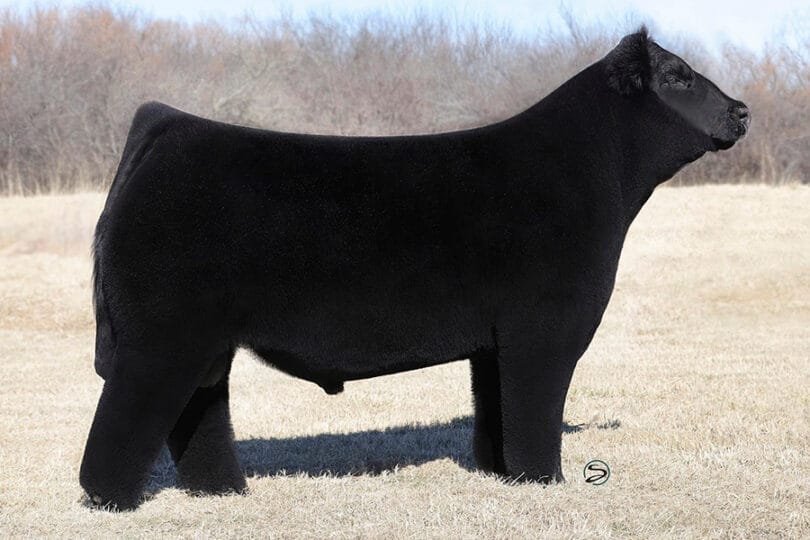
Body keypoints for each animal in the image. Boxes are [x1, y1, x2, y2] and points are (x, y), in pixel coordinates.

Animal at [80, 27, 749, 510]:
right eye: (679, 76)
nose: (742, 110)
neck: (587, 173)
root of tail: (167, 125)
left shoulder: (495, 341)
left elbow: (496, 409)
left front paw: (504, 475)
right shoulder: (543, 331)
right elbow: (535, 409)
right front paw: (545, 482)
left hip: (204, 342)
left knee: (199, 411)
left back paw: (224, 494)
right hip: (161, 337)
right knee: (128, 419)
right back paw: (111, 503)